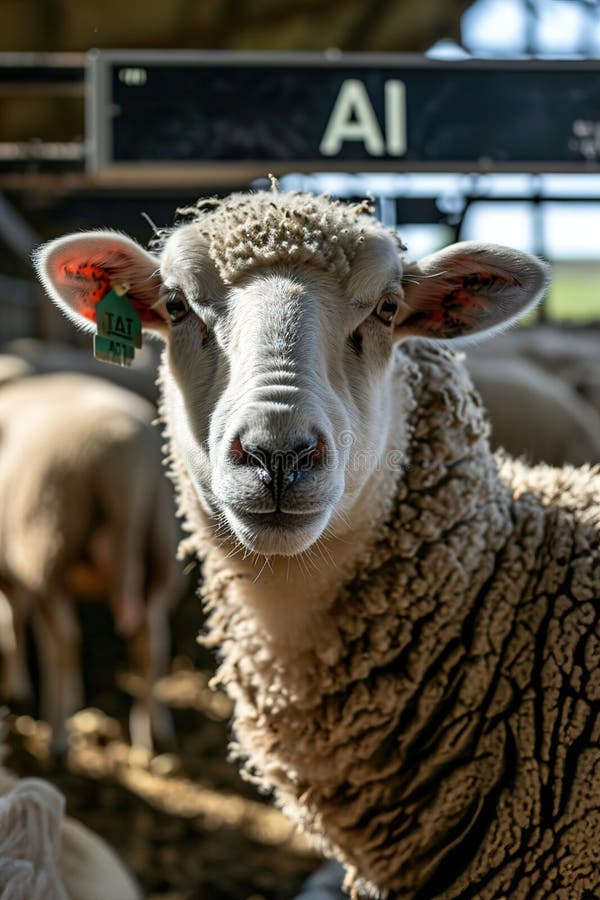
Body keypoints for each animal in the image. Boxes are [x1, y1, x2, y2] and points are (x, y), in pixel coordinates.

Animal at [0, 372, 181, 753]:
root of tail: (125, 465)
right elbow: (17, 620)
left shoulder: (17, 570)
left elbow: (14, 624)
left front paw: (19, 688)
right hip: (158, 552)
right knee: (151, 645)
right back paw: (153, 737)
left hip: (47, 550)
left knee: (65, 644)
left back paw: (58, 737)